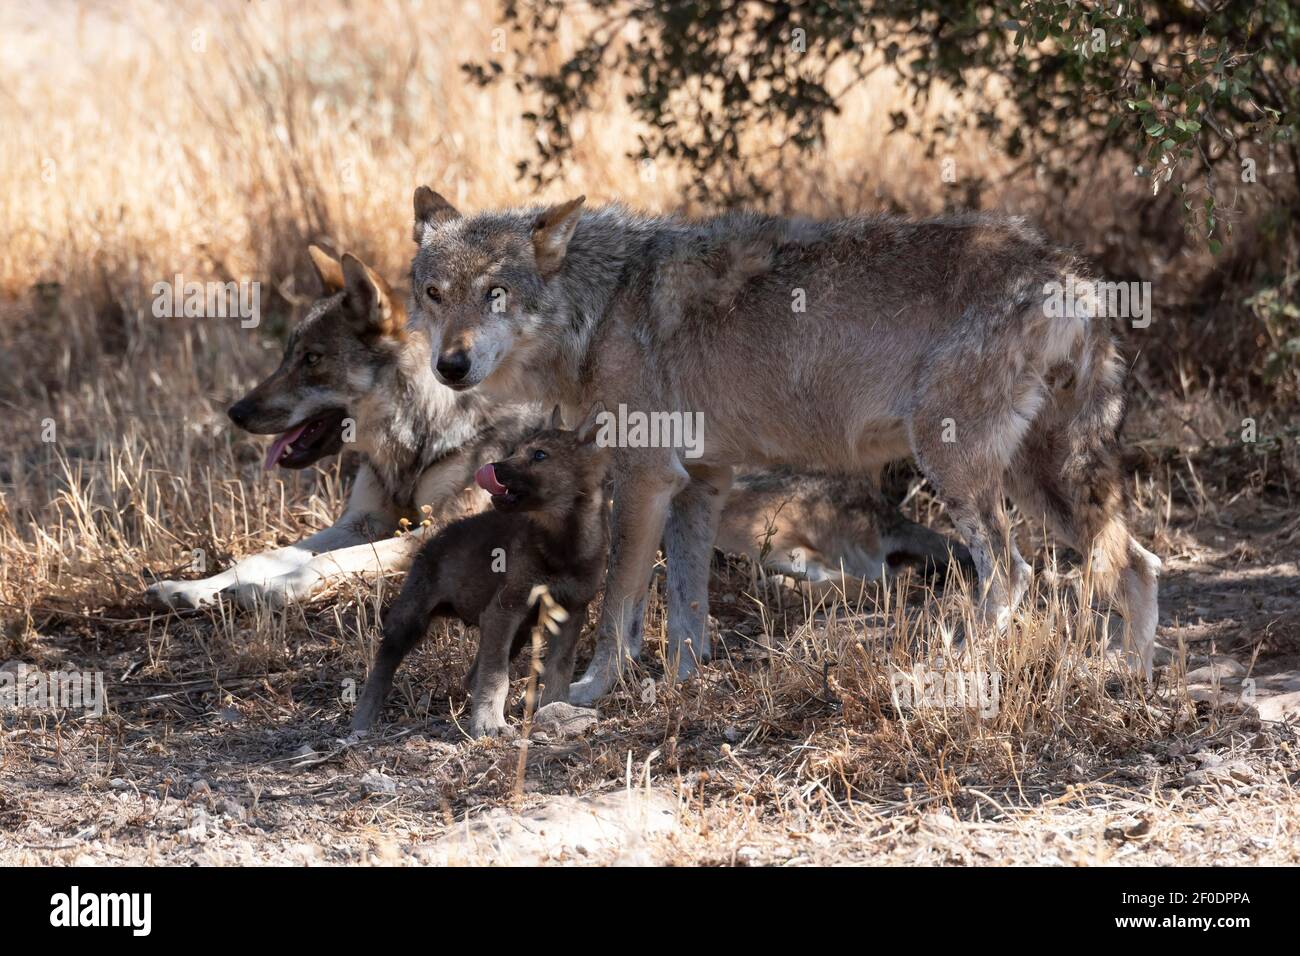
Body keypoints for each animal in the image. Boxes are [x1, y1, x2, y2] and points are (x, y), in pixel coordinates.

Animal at [146, 246, 966, 612]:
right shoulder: (369, 518)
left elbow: (320, 568)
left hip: (741, 522)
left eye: (312, 361)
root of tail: (878, 500)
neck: (417, 438)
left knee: (861, 577)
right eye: (284, 355)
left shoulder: (421, 533)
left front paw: (268, 594)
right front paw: (197, 587)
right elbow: (274, 551)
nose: (237, 413)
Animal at [352, 405, 611, 738]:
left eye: (540, 455)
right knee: (382, 668)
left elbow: (559, 668)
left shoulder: (570, 612)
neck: (562, 544)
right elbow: (496, 676)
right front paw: (489, 724)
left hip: (518, 630)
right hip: (410, 618)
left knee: (471, 676)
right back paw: (361, 723)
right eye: (516, 450)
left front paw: (555, 708)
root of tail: (434, 536)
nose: (492, 467)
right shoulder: (504, 610)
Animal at [406, 189, 1162, 705]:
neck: (599, 306)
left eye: (496, 294)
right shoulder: (702, 480)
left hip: (959, 472)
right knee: (1137, 564)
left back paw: (948, 672)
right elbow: (687, 608)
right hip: (1044, 484)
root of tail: (1070, 272)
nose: (450, 366)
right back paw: (1128, 677)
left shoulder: (646, 477)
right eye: (434, 294)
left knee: (1013, 575)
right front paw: (685, 684)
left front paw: (591, 690)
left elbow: (620, 603)